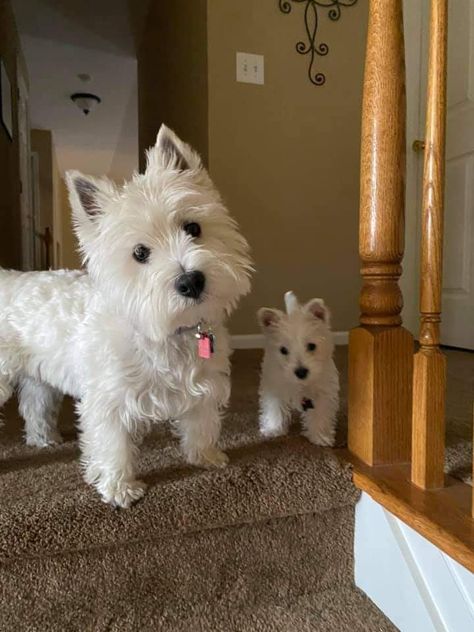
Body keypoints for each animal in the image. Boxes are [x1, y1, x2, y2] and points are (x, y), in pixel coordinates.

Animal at [0, 126, 252, 506]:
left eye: (193, 227)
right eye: (140, 253)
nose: (191, 281)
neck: (168, 331)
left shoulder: (204, 383)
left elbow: (201, 420)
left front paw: (205, 457)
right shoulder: (109, 398)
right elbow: (112, 443)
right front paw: (119, 487)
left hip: (40, 375)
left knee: (34, 404)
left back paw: (43, 439)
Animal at [258, 292, 338, 444]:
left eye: (312, 346)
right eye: (283, 350)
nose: (301, 372)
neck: (300, 385)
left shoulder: (322, 390)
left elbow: (320, 413)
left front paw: (320, 436)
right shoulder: (275, 387)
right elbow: (275, 408)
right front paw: (274, 429)